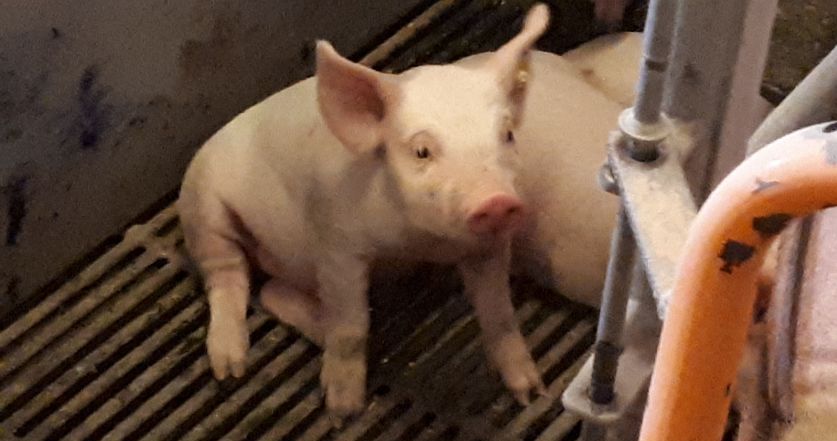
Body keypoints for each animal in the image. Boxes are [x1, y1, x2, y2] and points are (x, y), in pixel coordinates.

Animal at [179, 4, 556, 418]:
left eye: (507, 135)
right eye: (422, 151)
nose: (496, 201)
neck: (419, 242)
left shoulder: (487, 247)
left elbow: (498, 312)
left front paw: (531, 393)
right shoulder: (337, 245)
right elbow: (350, 325)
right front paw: (343, 411)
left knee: (270, 292)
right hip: (203, 207)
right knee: (227, 274)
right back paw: (230, 368)